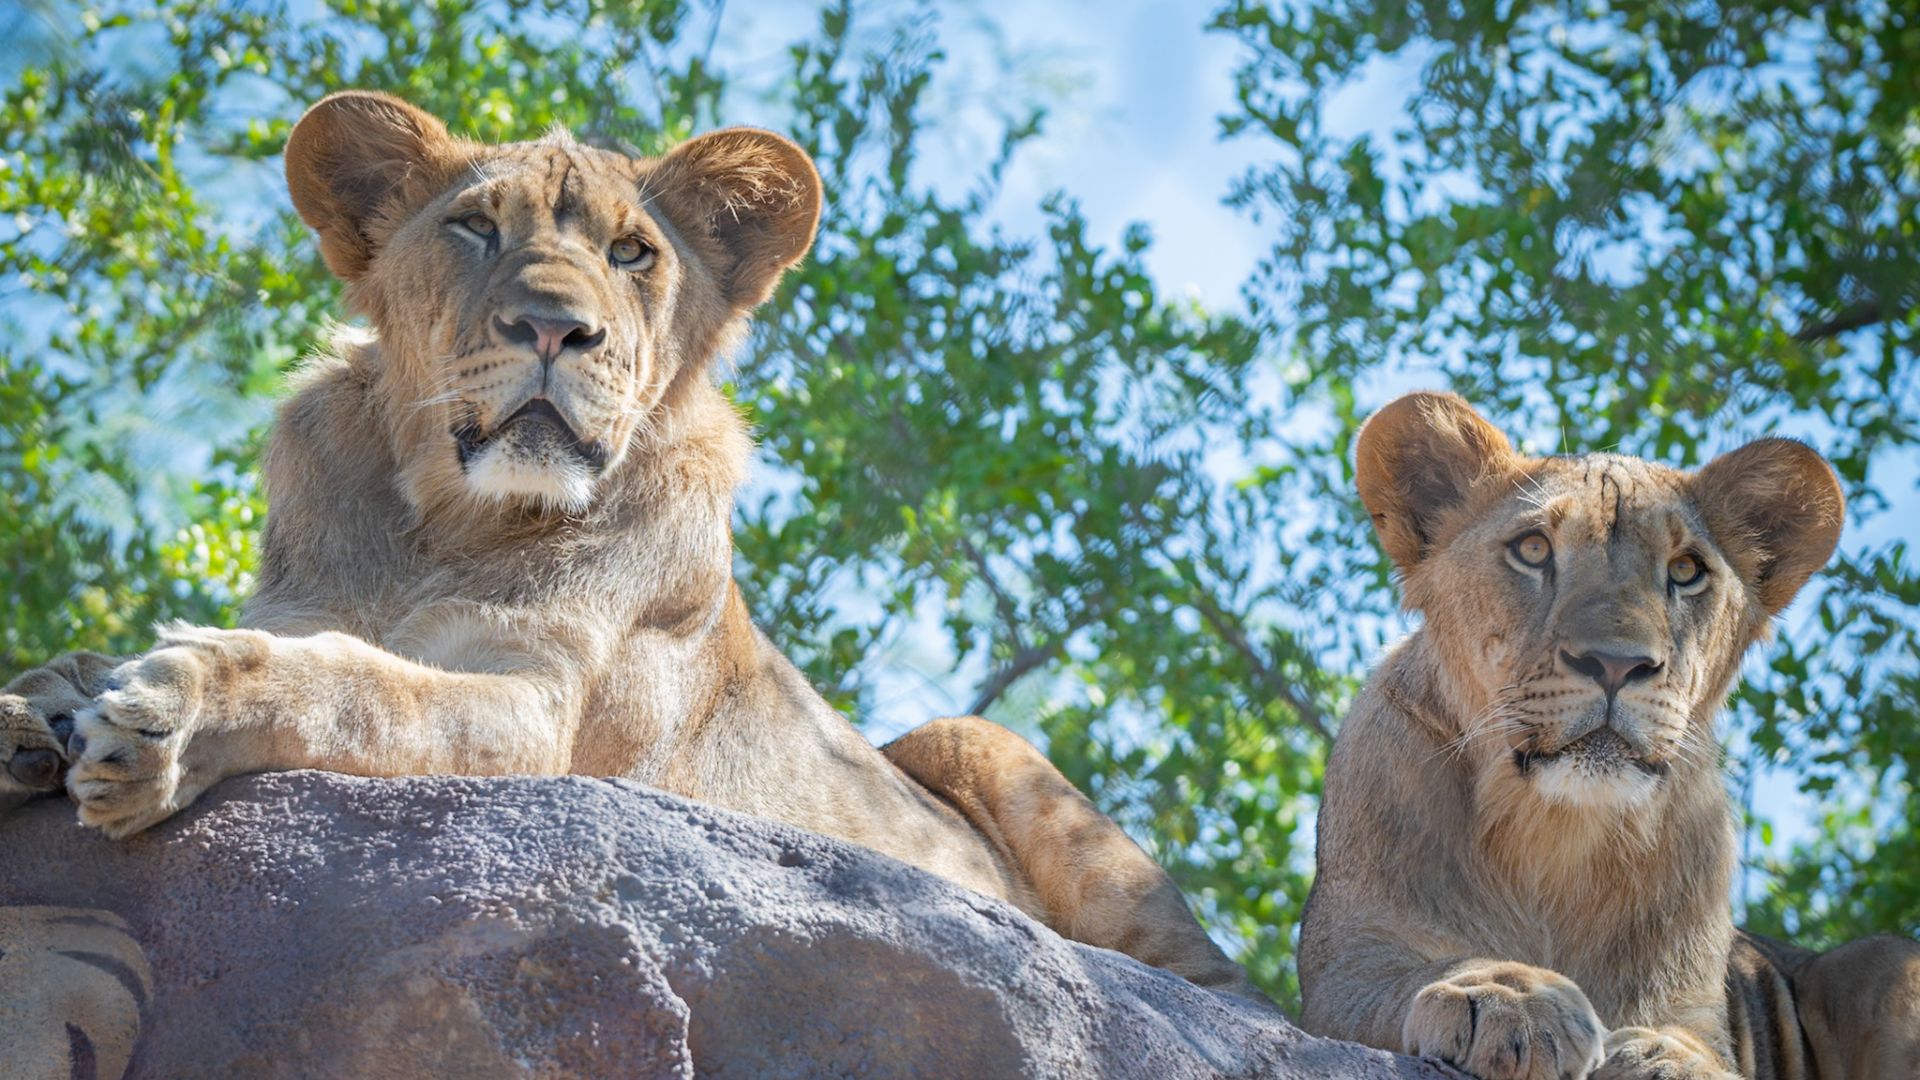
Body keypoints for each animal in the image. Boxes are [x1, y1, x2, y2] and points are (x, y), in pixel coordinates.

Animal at [0, 91, 1256, 1002]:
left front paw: (166, 717)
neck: (442, 518)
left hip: (985, 746)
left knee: (1229, 1000)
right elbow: (144, 655)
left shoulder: (537, 710)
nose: (556, 327)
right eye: (474, 227)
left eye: (633, 253)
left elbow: (352, 689)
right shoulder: (304, 604)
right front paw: (35, 708)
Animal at [1296, 391, 1920, 1078]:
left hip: (1881, 968)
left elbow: (1700, 1047)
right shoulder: (1352, 955)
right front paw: (1509, 996)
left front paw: (1667, 1060)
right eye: (1533, 549)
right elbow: (1411, 971)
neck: (1554, 833)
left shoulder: (1700, 1009)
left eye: (1686, 569)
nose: (1617, 664)